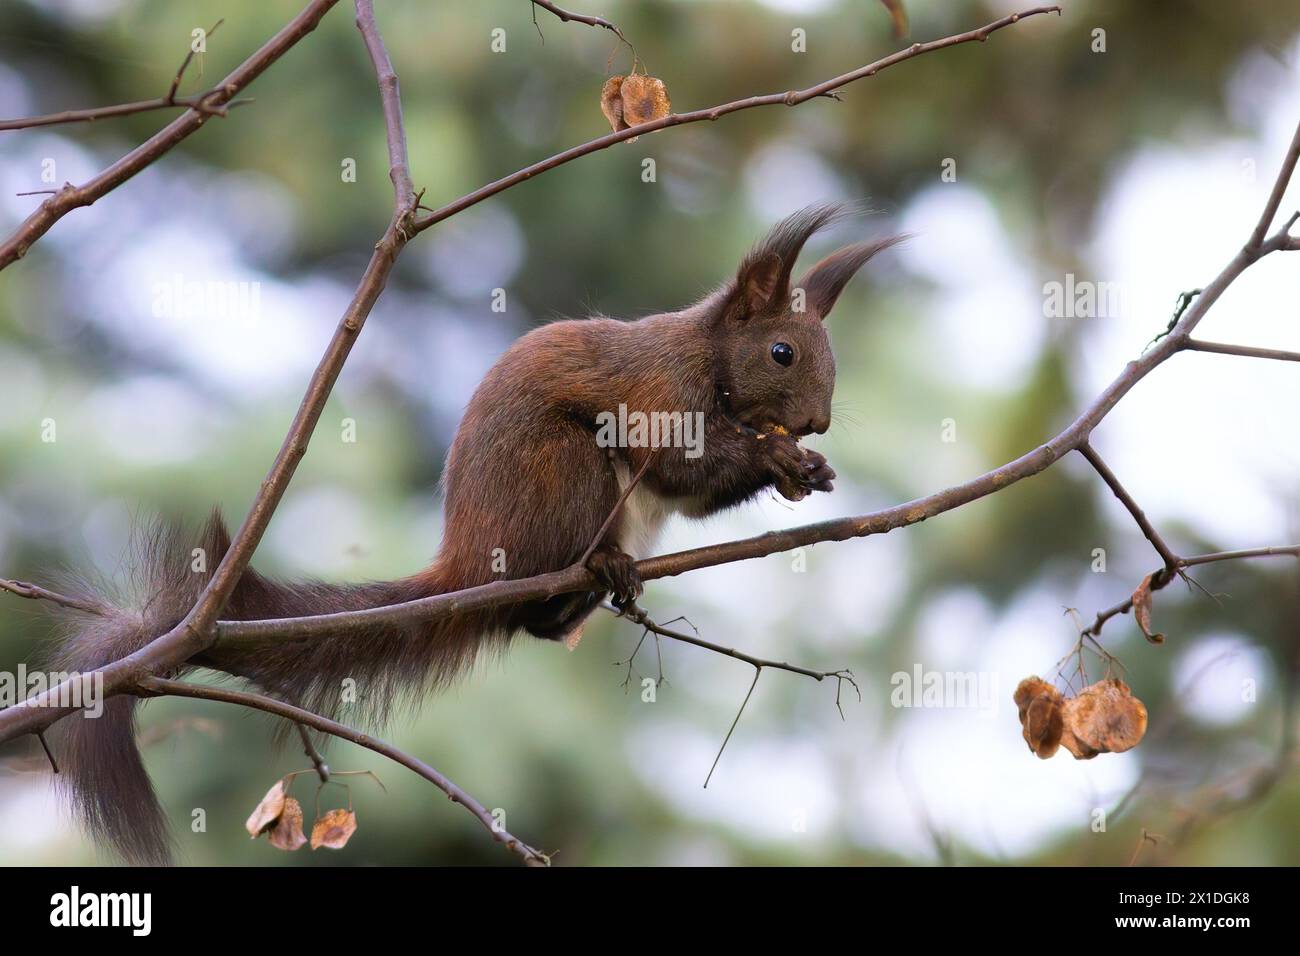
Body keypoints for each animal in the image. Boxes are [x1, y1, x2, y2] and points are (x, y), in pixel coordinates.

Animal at [40, 203, 901, 864]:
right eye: (782, 352)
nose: (819, 422)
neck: (710, 360)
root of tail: (466, 562)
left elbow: (691, 495)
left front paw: (808, 469)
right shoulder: (660, 390)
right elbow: (682, 464)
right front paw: (779, 456)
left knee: (537, 626)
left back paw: (592, 598)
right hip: (566, 473)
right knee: (536, 591)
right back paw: (602, 570)